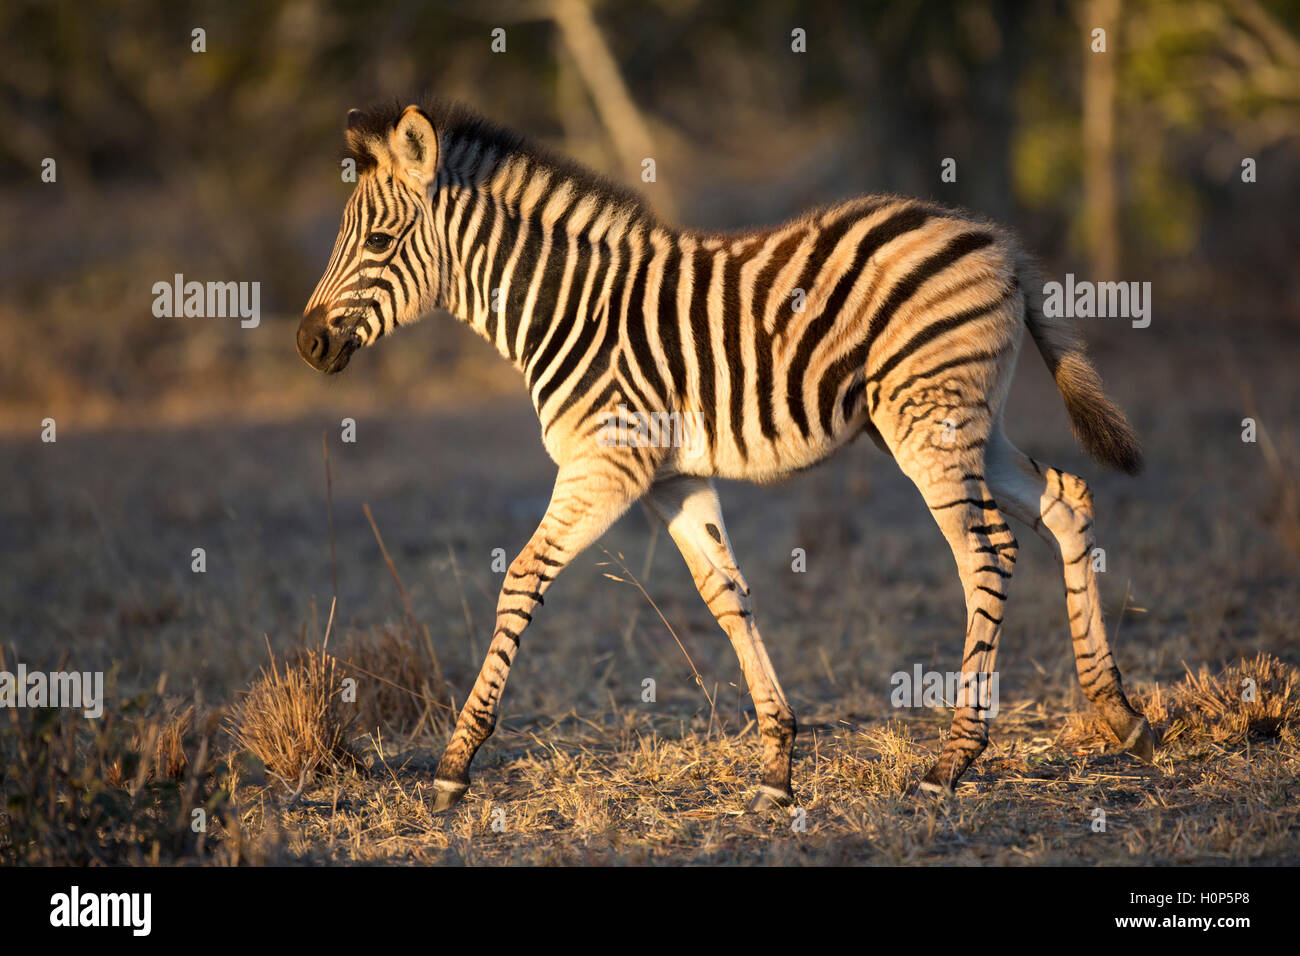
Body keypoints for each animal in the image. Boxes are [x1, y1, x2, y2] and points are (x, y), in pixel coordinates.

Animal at [299, 101, 1156, 812]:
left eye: (378, 241)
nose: (307, 343)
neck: (567, 311)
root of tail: (998, 242)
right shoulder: (674, 479)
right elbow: (726, 595)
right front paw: (778, 766)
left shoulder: (606, 467)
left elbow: (522, 577)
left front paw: (454, 763)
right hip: (967, 419)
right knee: (1066, 501)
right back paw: (1118, 713)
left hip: (929, 425)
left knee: (988, 553)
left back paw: (953, 760)